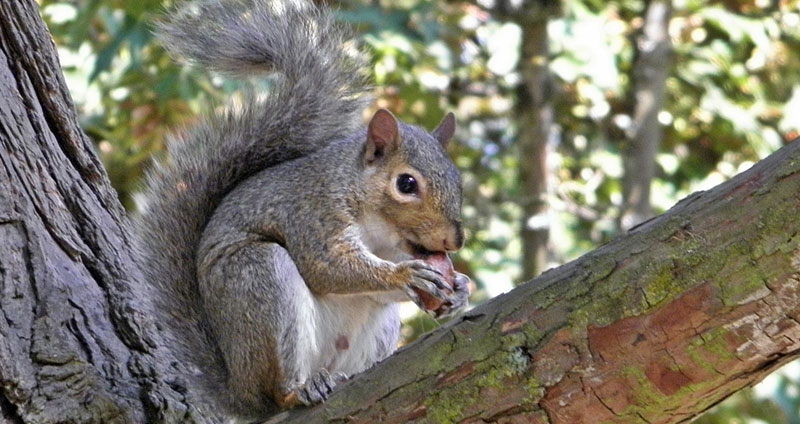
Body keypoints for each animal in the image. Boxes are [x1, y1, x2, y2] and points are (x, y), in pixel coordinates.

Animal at [135, 0, 469, 420]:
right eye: (406, 184)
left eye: (457, 178)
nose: (455, 240)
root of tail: (240, 391)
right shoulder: (312, 214)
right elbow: (328, 267)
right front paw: (405, 275)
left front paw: (460, 289)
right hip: (260, 279)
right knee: (278, 389)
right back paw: (298, 390)